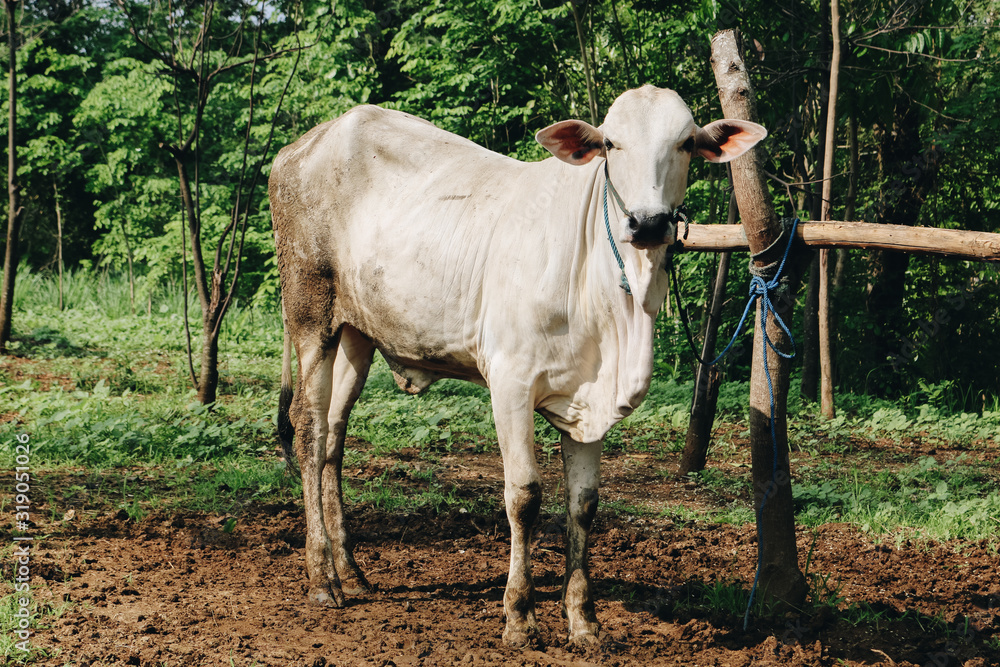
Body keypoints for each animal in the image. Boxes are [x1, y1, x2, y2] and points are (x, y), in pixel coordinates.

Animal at [269, 85, 766, 647]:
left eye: (685, 143)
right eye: (611, 144)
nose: (648, 223)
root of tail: (302, 146)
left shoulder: (589, 400)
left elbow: (584, 504)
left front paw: (583, 621)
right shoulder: (509, 382)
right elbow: (524, 495)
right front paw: (520, 615)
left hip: (357, 332)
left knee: (334, 435)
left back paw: (351, 571)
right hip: (310, 316)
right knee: (309, 431)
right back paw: (322, 578)